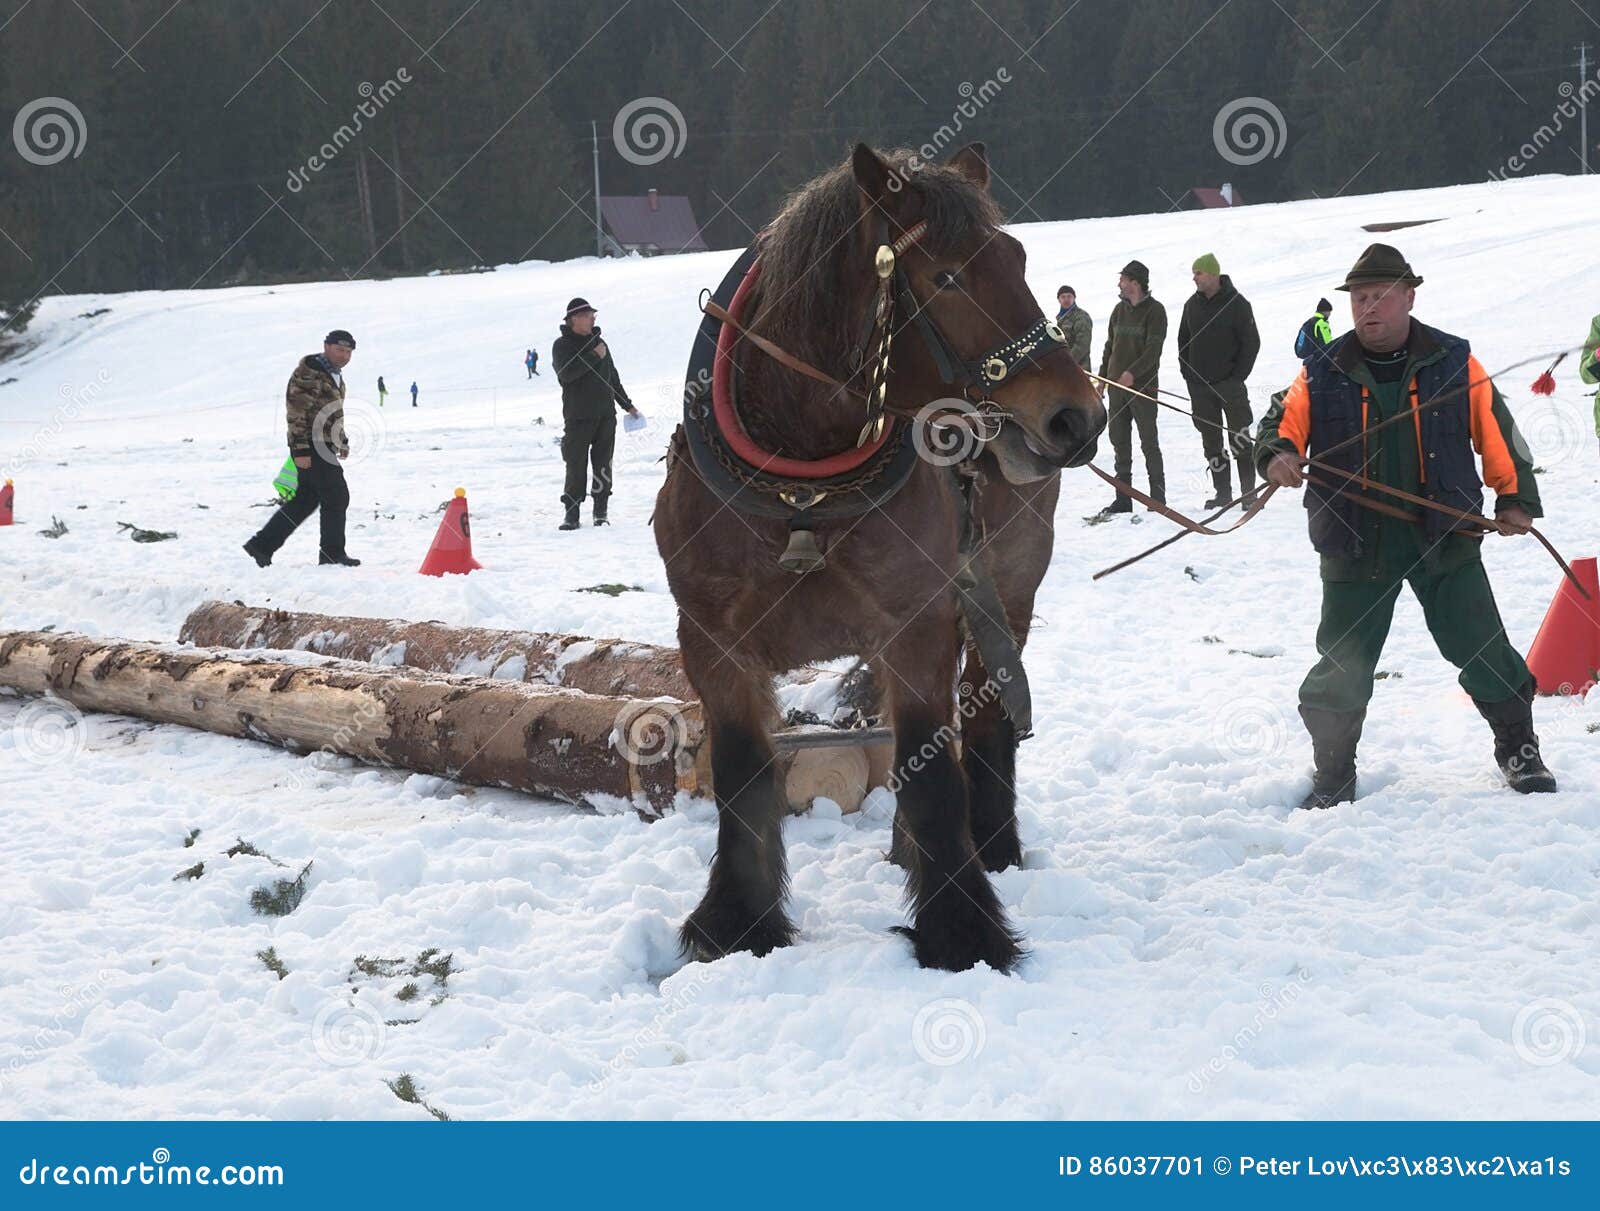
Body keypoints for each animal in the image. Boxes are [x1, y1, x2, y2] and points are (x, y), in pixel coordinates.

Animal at [652, 142, 1105, 972]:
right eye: (947, 277)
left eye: (1017, 257)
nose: (1076, 416)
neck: (803, 489)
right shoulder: (710, 639)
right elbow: (741, 771)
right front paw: (737, 921)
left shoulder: (914, 625)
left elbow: (930, 770)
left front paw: (962, 929)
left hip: (1008, 586)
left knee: (983, 717)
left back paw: (992, 846)